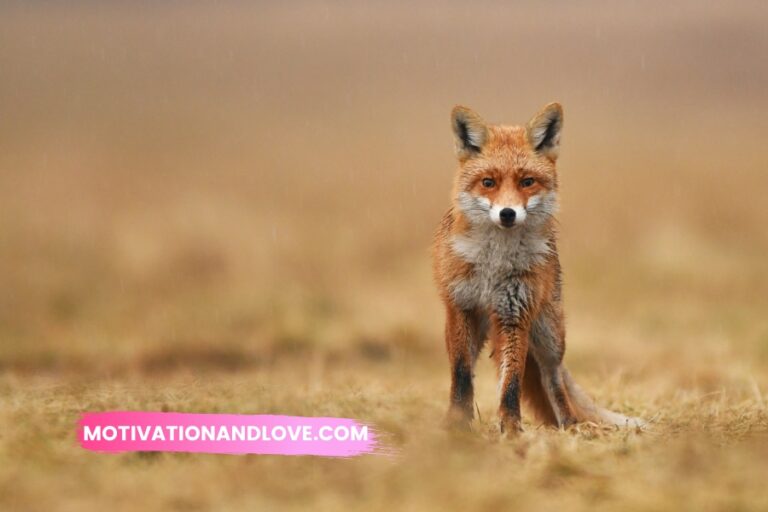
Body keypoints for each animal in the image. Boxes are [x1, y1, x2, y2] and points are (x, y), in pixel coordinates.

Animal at [432, 103, 643, 435]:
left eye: (527, 181)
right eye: (488, 182)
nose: (507, 213)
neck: (494, 262)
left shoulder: (515, 314)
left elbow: (512, 383)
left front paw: (511, 429)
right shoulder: (460, 308)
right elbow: (462, 376)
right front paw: (456, 424)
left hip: (548, 335)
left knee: (552, 378)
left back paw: (569, 426)